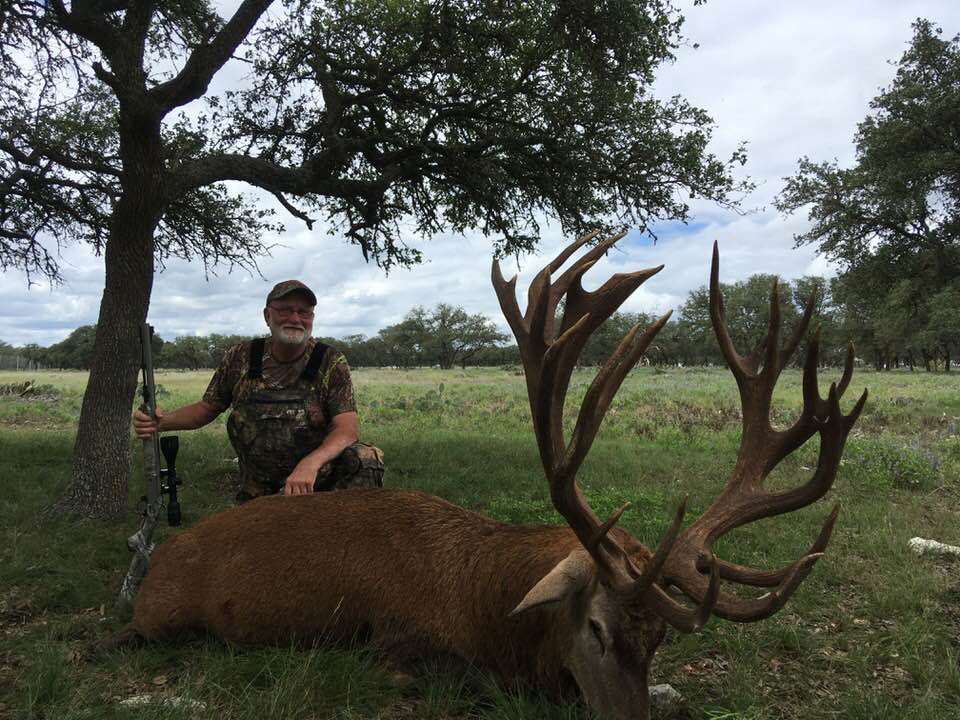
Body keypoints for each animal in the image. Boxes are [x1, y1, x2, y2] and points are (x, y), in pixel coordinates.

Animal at [111, 231, 866, 720]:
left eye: (658, 640)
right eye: (595, 628)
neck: (488, 607)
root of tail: (154, 564)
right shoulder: (396, 644)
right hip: (161, 622)